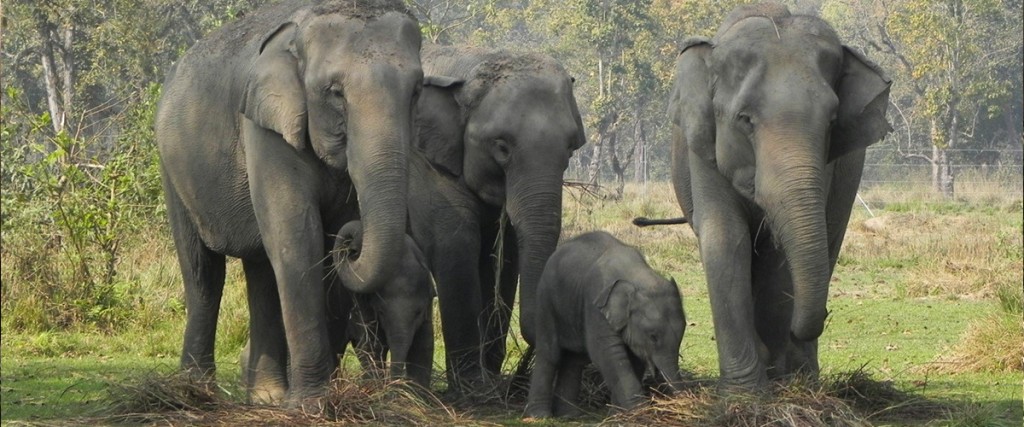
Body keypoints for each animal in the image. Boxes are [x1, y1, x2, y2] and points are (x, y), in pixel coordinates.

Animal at [154, 0, 423, 406]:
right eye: (335, 93)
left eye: (417, 91)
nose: (353, 242)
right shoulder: (266, 125)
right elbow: (297, 233)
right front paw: (311, 403)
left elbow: (317, 242)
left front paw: (317, 396)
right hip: (175, 170)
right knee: (203, 273)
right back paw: (195, 391)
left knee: (262, 272)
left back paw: (267, 398)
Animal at [333, 220, 435, 389]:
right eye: (380, 312)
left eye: (418, 313)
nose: (395, 384)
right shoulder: (360, 302)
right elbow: (371, 342)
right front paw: (375, 390)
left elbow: (424, 343)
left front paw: (416, 393)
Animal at [406, 44, 587, 394]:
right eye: (501, 147)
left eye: (571, 149)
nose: (525, 370)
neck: (469, 65)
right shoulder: (425, 168)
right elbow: (456, 245)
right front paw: (473, 387)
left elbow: (504, 258)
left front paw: (489, 379)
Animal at [524, 231, 685, 418]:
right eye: (653, 337)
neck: (638, 277)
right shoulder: (596, 304)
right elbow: (608, 354)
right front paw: (640, 413)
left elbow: (634, 359)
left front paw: (619, 414)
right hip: (546, 300)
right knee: (550, 353)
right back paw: (539, 416)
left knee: (575, 360)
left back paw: (570, 415)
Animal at [666, 2, 891, 390]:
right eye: (744, 119)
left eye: (832, 122)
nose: (797, 331)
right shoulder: (704, 149)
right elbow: (727, 237)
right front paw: (744, 394)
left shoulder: (827, 166)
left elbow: (780, 253)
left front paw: (778, 380)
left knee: (828, 242)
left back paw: (803, 377)